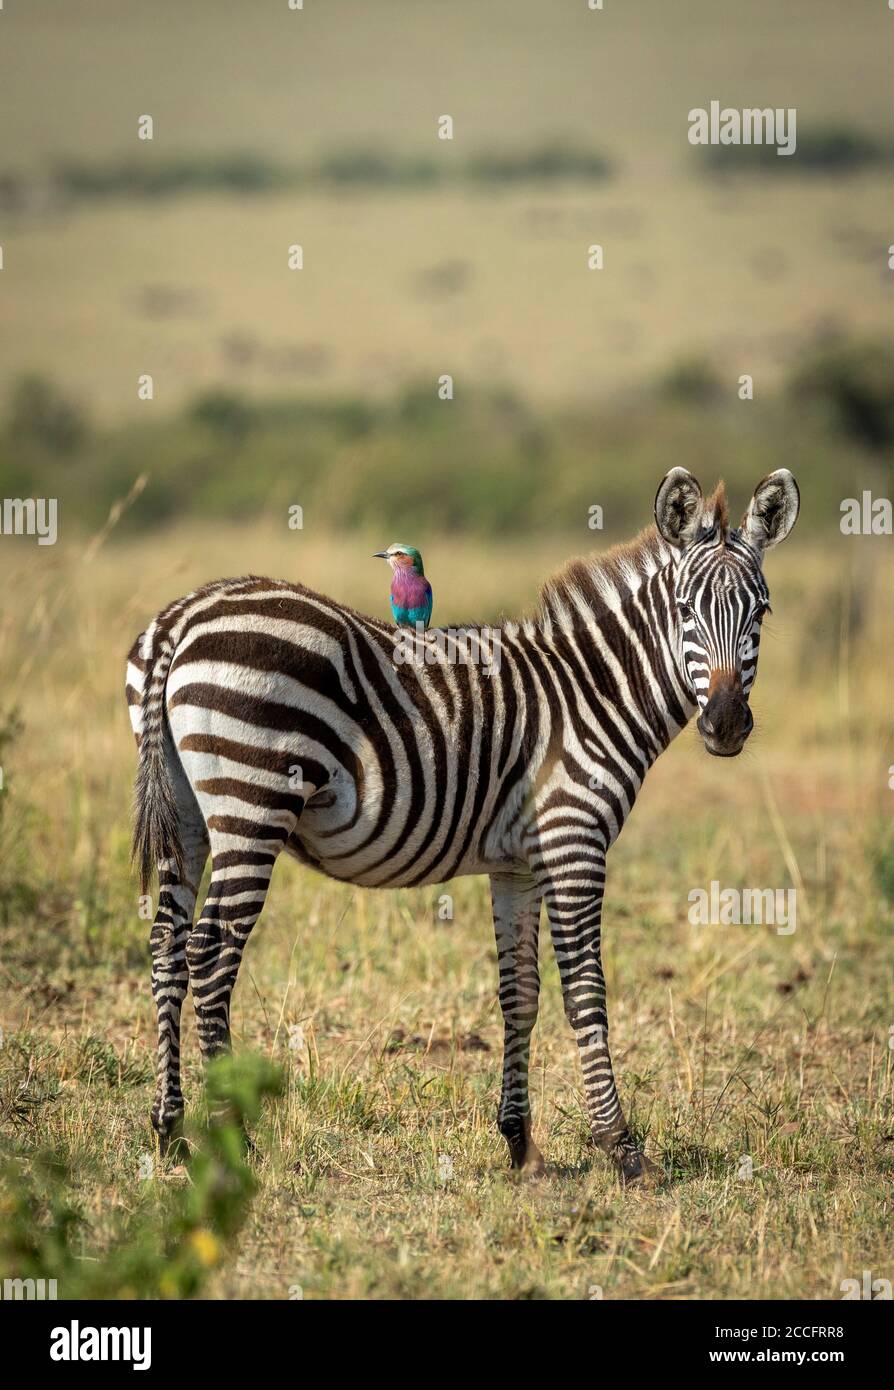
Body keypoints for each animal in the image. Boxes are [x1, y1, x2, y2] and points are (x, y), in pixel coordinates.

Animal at [126, 466, 799, 1182]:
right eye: (685, 611)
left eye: (761, 612)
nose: (725, 725)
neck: (592, 689)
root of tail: (182, 617)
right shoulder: (574, 840)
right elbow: (585, 992)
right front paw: (620, 1146)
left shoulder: (518, 865)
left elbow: (520, 992)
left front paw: (520, 1142)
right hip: (250, 806)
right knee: (210, 953)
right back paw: (234, 1134)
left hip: (188, 816)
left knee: (167, 945)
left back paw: (170, 1129)